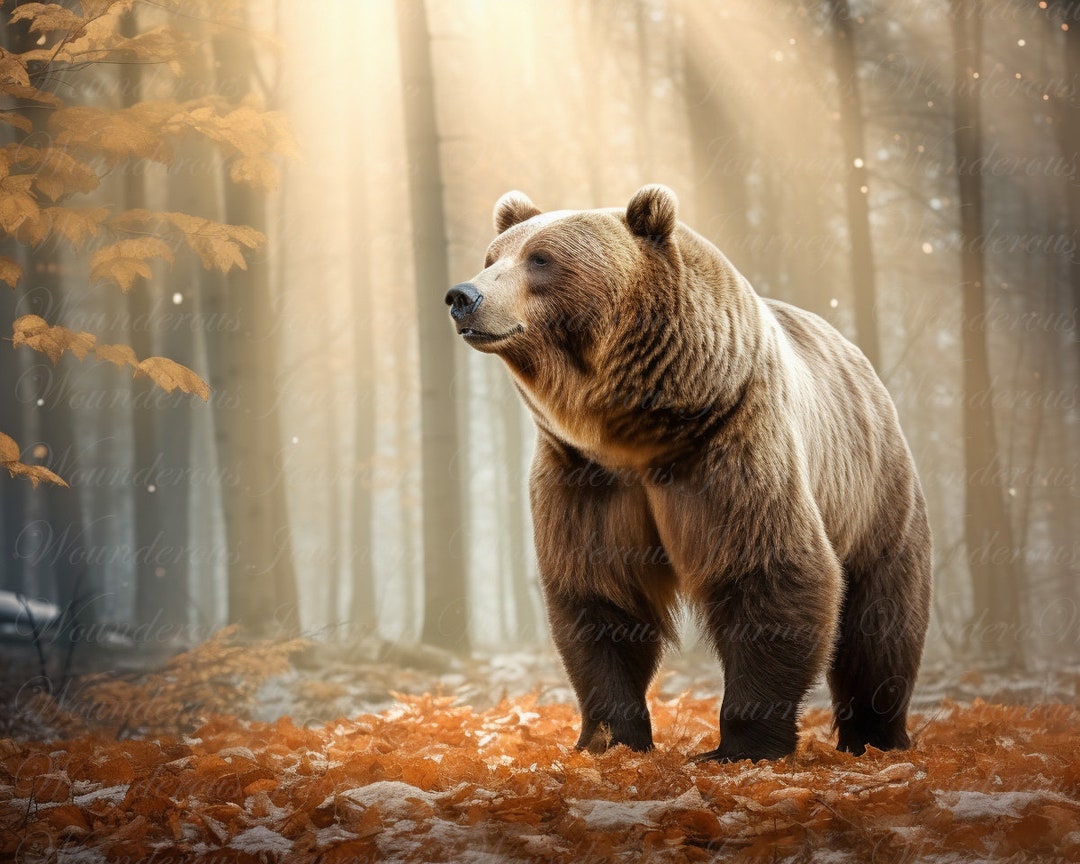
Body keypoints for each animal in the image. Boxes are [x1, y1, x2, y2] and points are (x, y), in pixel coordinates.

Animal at [445, 184, 932, 762]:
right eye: (492, 257)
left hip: (877, 492)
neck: (636, 426)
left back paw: (877, 736)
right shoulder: (585, 474)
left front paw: (742, 745)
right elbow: (599, 597)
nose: (462, 296)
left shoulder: (729, 442)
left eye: (540, 259)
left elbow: (769, 573)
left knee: (881, 623)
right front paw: (608, 738)